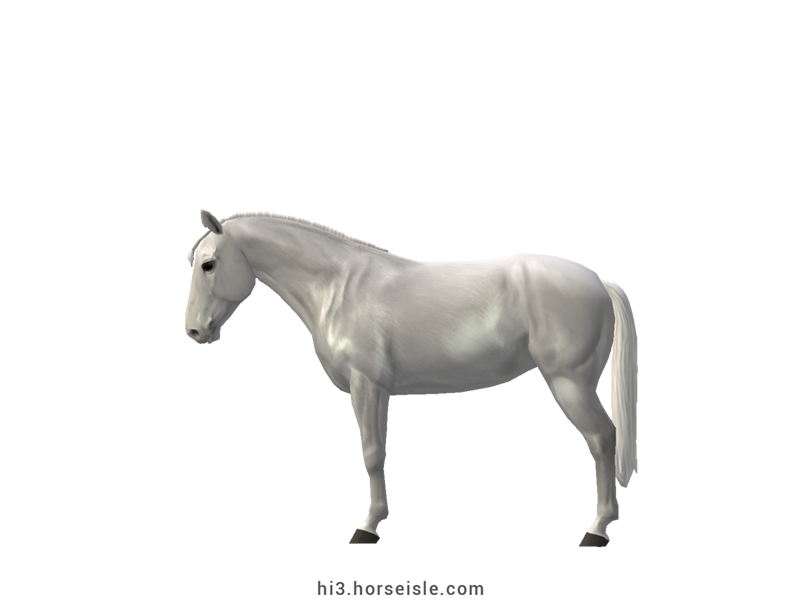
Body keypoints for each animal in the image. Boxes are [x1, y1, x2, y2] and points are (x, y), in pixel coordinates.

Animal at [185, 210, 637, 540]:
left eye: (209, 264)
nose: (194, 331)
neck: (339, 286)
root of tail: (598, 282)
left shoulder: (365, 384)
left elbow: (372, 453)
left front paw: (373, 522)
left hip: (571, 383)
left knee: (601, 439)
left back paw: (601, 524)